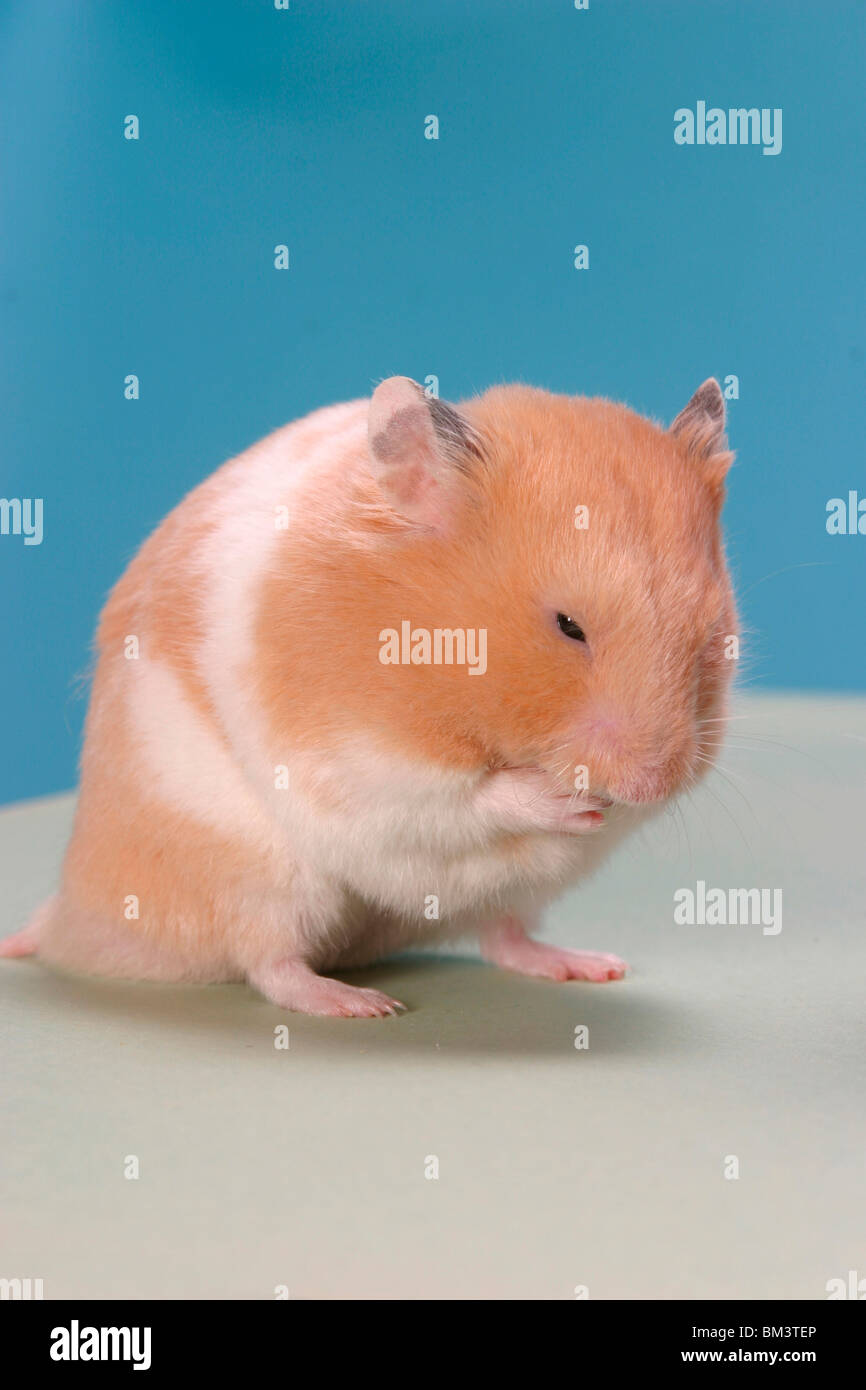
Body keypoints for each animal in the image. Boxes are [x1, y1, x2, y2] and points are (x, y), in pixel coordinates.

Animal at [2, 376, 737, 1016]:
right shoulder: (363, 762)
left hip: (508, 895)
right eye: (568, 626)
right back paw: (361, 1004)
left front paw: (603, 810)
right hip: (253, 873)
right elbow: (467, 795)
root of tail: (73, 912)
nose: (653, 785)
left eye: (708, 635)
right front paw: (568, 802)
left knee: (503, 934)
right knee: (269, 963)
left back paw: (591, 965)